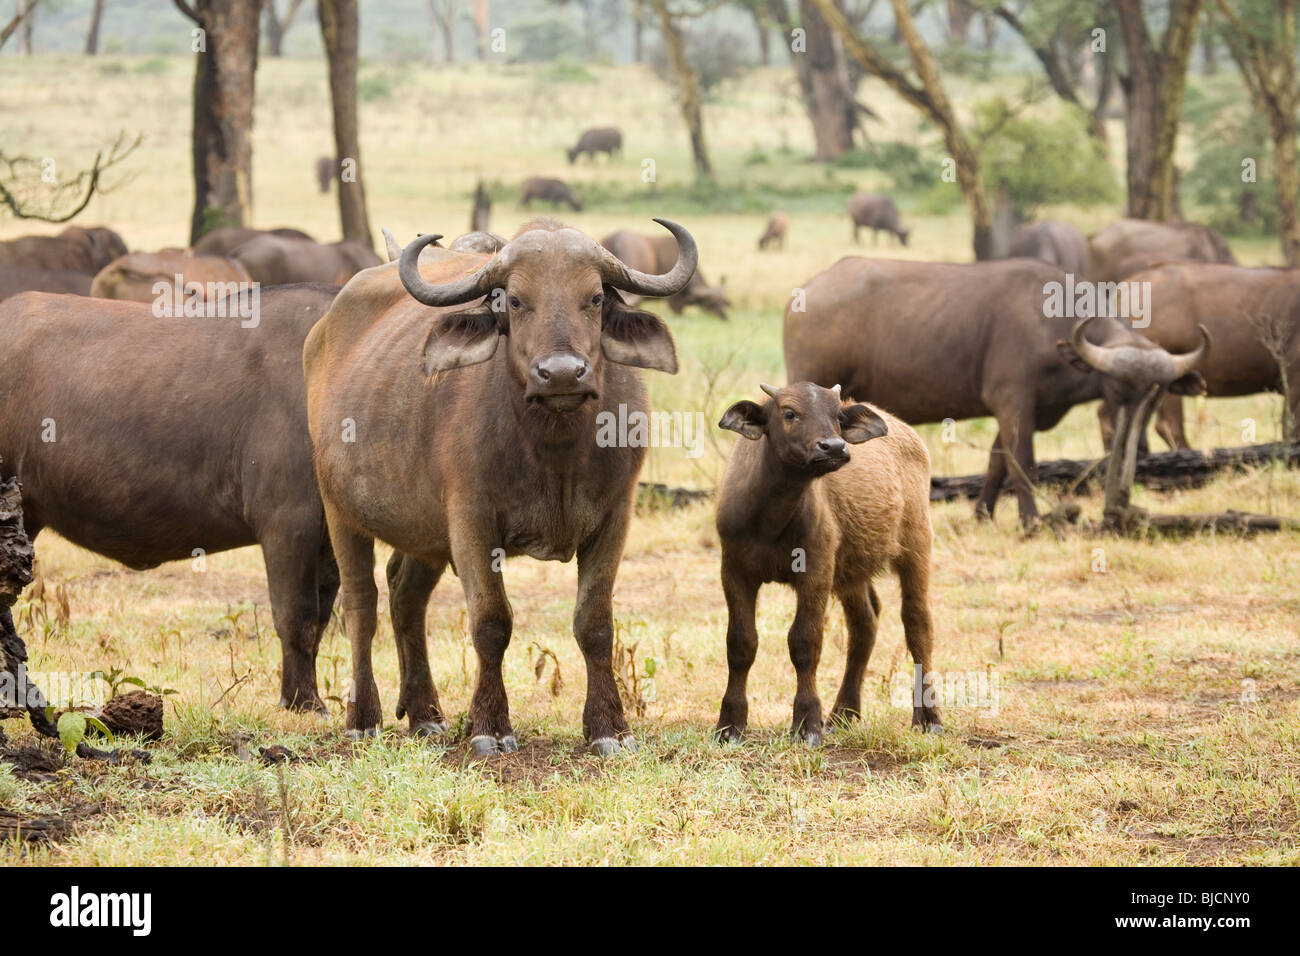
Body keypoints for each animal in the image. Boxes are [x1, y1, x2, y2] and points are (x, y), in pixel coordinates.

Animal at [302, 218, 697, 754]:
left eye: (595, 298)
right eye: (514, 300)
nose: (561, 374)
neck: (555, 448)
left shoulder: (616, 515)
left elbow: (595, 623)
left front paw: (608, 727)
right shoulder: (471, 519)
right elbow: (491, 622)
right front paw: (490, 726)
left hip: (425, 531)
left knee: (406, 595)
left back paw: (425, 714)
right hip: (340, 509)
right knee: (362, 604)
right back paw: (364, 715)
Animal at [715, 382, 941, 746]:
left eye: (837, 416)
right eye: (789, 412)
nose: (834, 446)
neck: (771, 516)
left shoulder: (816, 571)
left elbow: (804, 642)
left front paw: (807, 724)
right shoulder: (734, 570)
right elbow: (740, 642)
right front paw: (730, 726)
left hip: (917, 546)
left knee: (917, 624)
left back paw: (928, 717)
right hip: (851, 572)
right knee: (865, 624)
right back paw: (843, 713)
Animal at [784, 257, 1210, 530]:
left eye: (1157, 394)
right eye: (1118, 388)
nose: (1136, 445)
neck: (1051, 325)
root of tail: (803, 295)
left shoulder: (1020, 411)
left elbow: (997, 459)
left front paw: (983, 514)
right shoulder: (1013, 401)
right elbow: (1023, 461)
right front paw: (1031, 520)